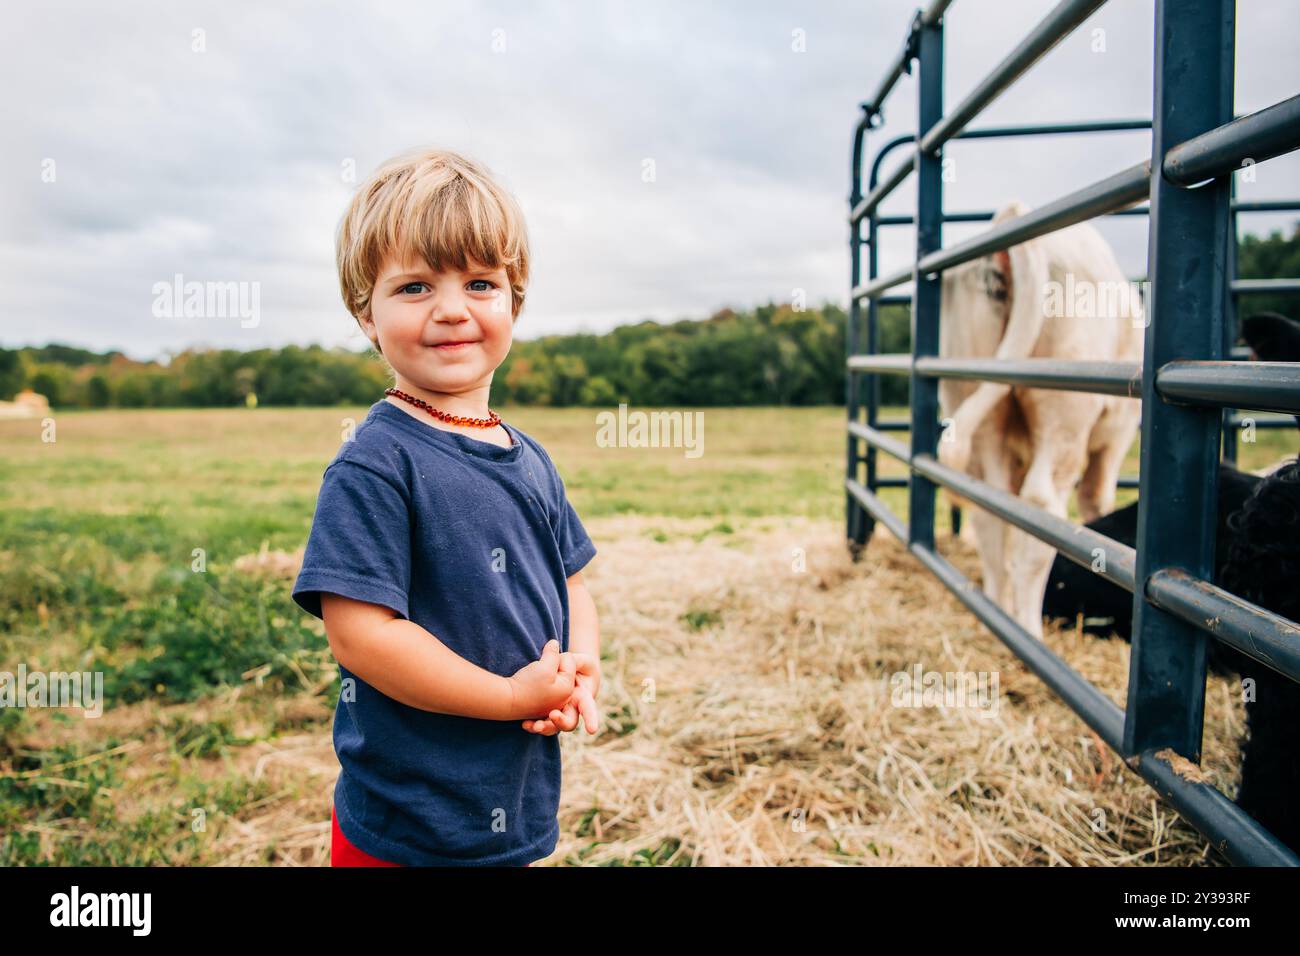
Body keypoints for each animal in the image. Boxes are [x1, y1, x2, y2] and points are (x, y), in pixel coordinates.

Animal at [936, 200, 1144, 640]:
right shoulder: (1116, 438)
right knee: (1042, 505)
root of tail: (1014, 215)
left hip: (979, 403)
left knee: (991, 504)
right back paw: (1028, 626)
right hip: (1064, 414)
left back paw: (997, 611)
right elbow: (1096, 499)